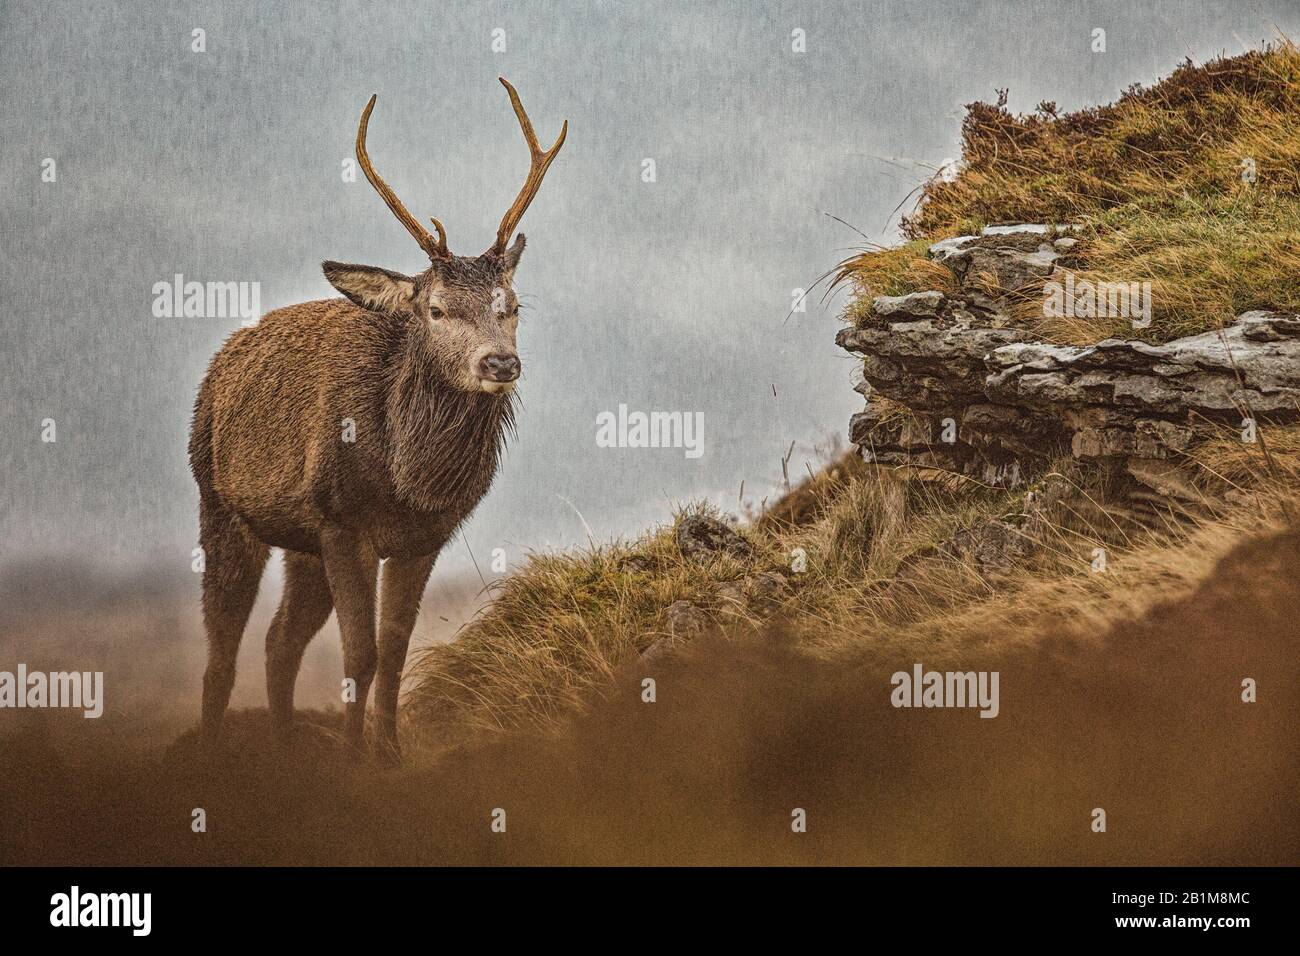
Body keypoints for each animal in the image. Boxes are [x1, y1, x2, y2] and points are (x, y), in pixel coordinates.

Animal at [188, 78, 567, 760]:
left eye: (514, 305)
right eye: (437, 309)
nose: (500, 361)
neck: (406, 480)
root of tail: (221, 362)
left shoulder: (425, 538)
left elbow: (392, 654)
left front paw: (388, 755)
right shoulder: (344, 524)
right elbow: (358, 656)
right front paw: (352, 760)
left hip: (301, 543)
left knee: (278, 642)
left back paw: (284, 750)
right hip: (220, 502)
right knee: (221, 655)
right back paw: (213, 751)